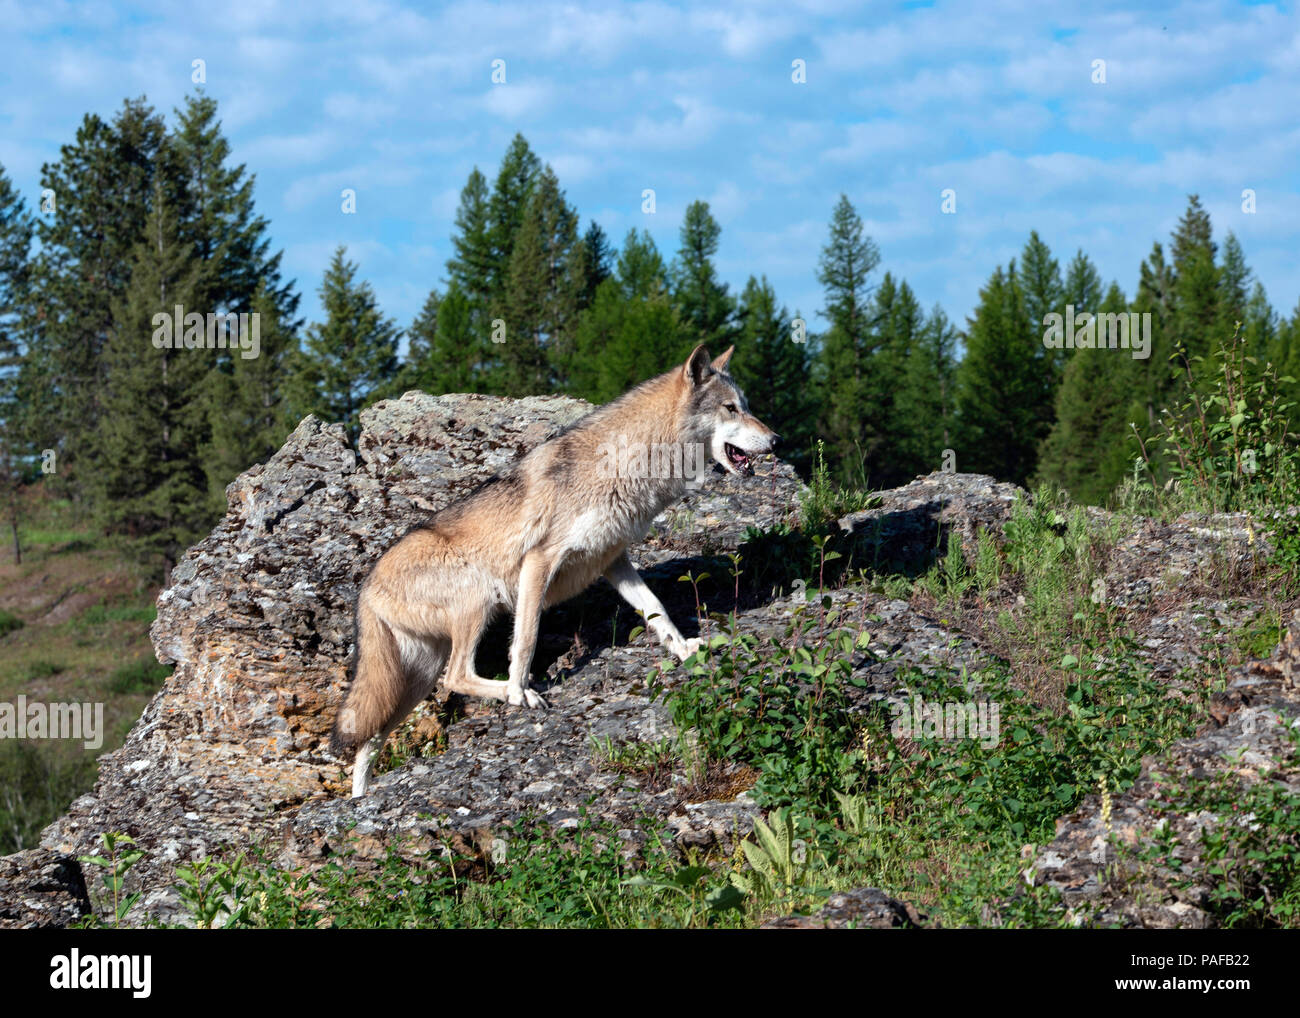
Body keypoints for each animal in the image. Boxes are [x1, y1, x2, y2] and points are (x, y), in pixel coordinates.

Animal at [329, 344, 779, 796]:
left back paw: (361, 799)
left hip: (415, 677)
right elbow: (526, 640)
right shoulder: (538, 562)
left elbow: (658, 611)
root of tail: (366, 589)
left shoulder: (614, 561)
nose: (777, 440)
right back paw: (512, 695)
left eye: (747, 406)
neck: (630, 460)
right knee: (455, 679)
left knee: (372, 737)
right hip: (475, 604)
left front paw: (685, 648)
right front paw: (520, 691)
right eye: (731, 408)